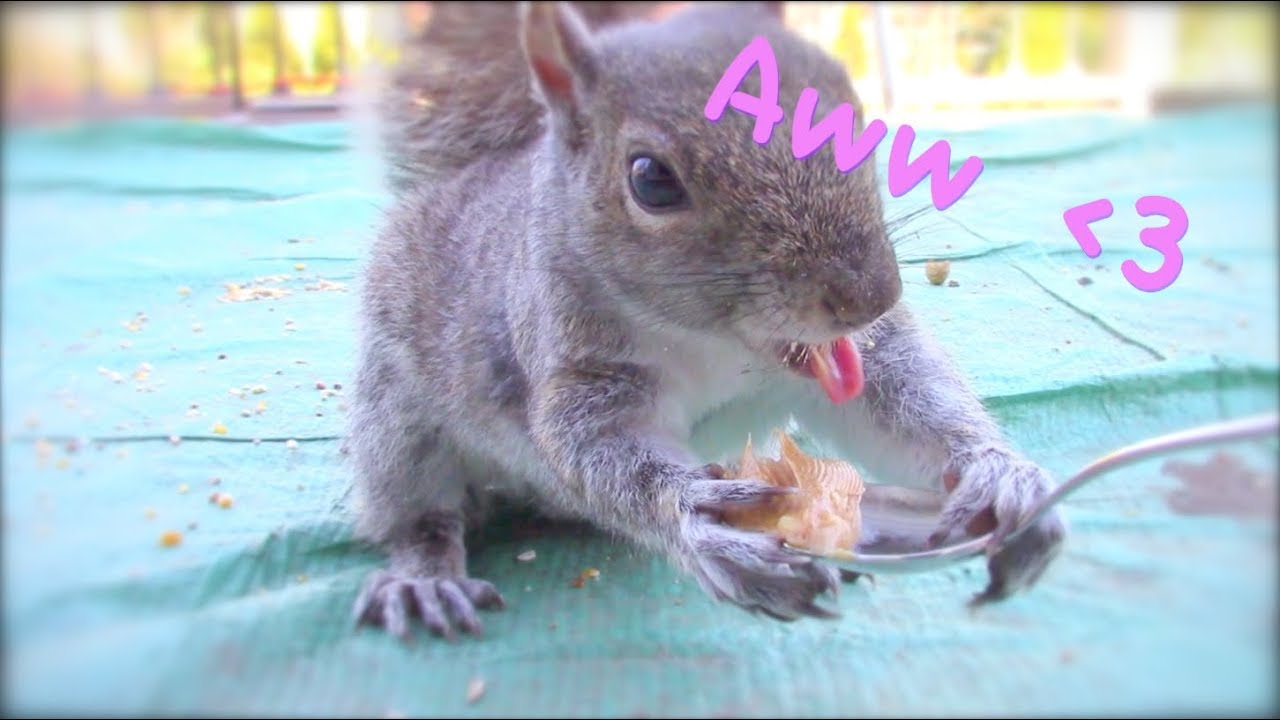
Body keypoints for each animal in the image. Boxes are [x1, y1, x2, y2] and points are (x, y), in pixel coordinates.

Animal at [346, 1, 1067, 640]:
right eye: (650, 179)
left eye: (857, 124)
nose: (869, 296)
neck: (713, 343)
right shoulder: (578, 370)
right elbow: (600, 455)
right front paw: (701, 521)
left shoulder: (859, 355)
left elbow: (906, 399)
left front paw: (996, 473)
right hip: (397, 419)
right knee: (418, 510)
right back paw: (425, 574)